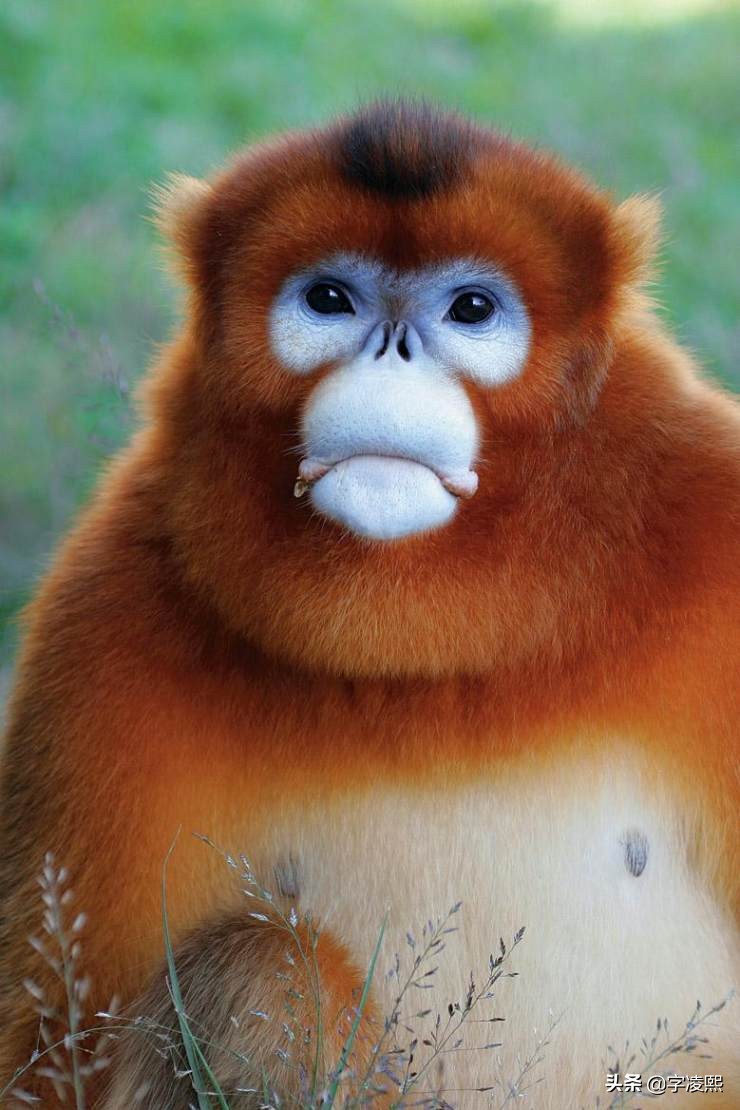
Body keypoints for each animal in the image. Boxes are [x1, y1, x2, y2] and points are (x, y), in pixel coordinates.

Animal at [0, 100, 738, 1108]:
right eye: (330, 301)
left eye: (471, 309)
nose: (393, 353)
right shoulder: (106, 612)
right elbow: (45, 1053)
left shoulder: (716, 527)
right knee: (265, 966)